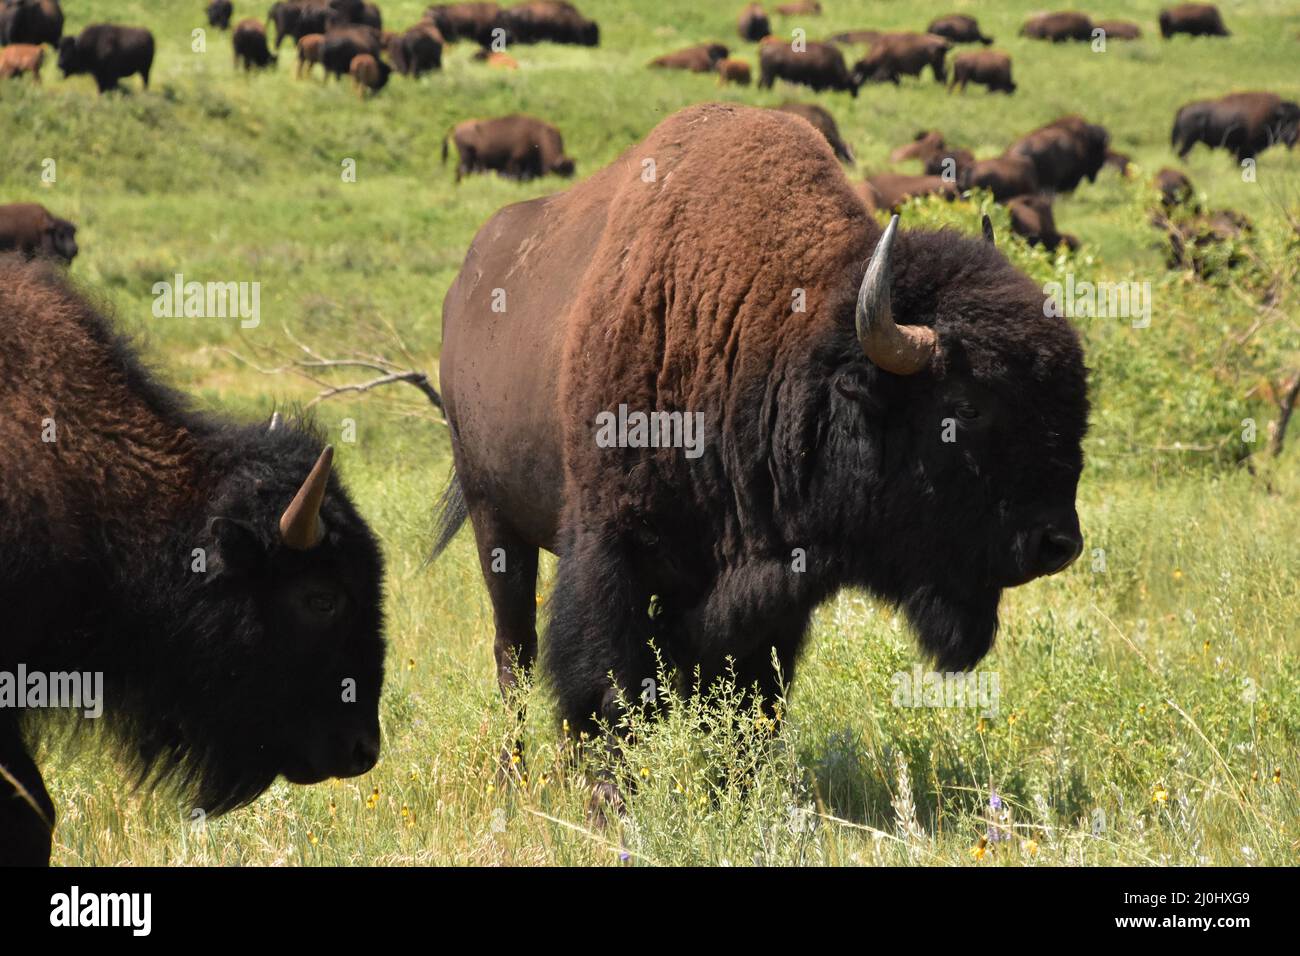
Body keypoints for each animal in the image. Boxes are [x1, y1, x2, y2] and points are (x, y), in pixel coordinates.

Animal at [442, 114, 575, 182]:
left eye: (572, 171)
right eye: (563, 172)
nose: (571, 181)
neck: (537, 137)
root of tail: (456, 127)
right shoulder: (514, 162)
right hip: (466, 157)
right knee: (462, 171)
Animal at [1171, 91, 1300, 163]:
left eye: (1298, 121)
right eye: (1286, 121)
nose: (1294, 137)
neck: (1272, 115)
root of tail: (1184, 109)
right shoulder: (1246, 149)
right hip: (1189, 141)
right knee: (1182, 154)